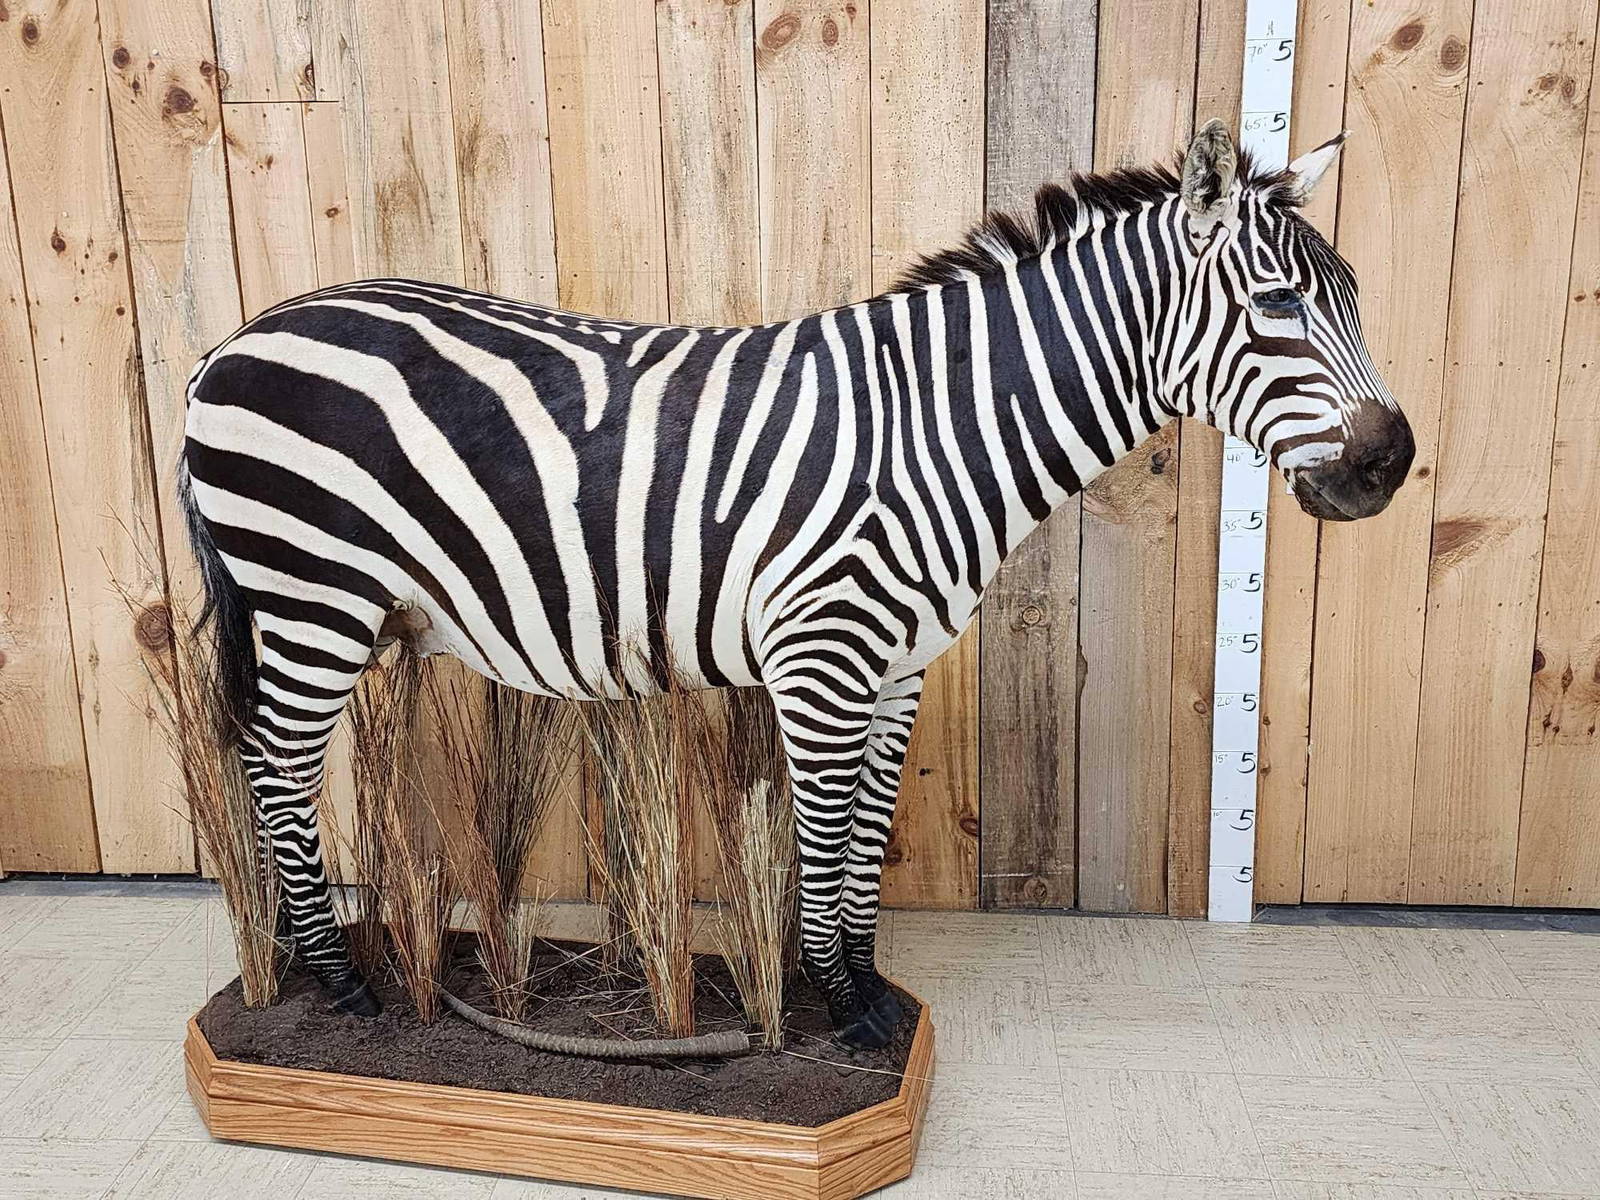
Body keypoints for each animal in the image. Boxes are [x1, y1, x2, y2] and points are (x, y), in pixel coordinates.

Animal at [179, 120, 1413, 1048]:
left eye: (1354, 297)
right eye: (1279, 306)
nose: (1391, 463)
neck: (938, 430)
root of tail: (231, 340)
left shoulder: (901, 663)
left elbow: (865, 839)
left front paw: (866, 990)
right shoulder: (821, 655)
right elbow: (816, 840)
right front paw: (830, 1001)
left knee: (261, 761)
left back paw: (301, 961)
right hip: (311, 592)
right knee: (279, 769)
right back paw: (339, 981)